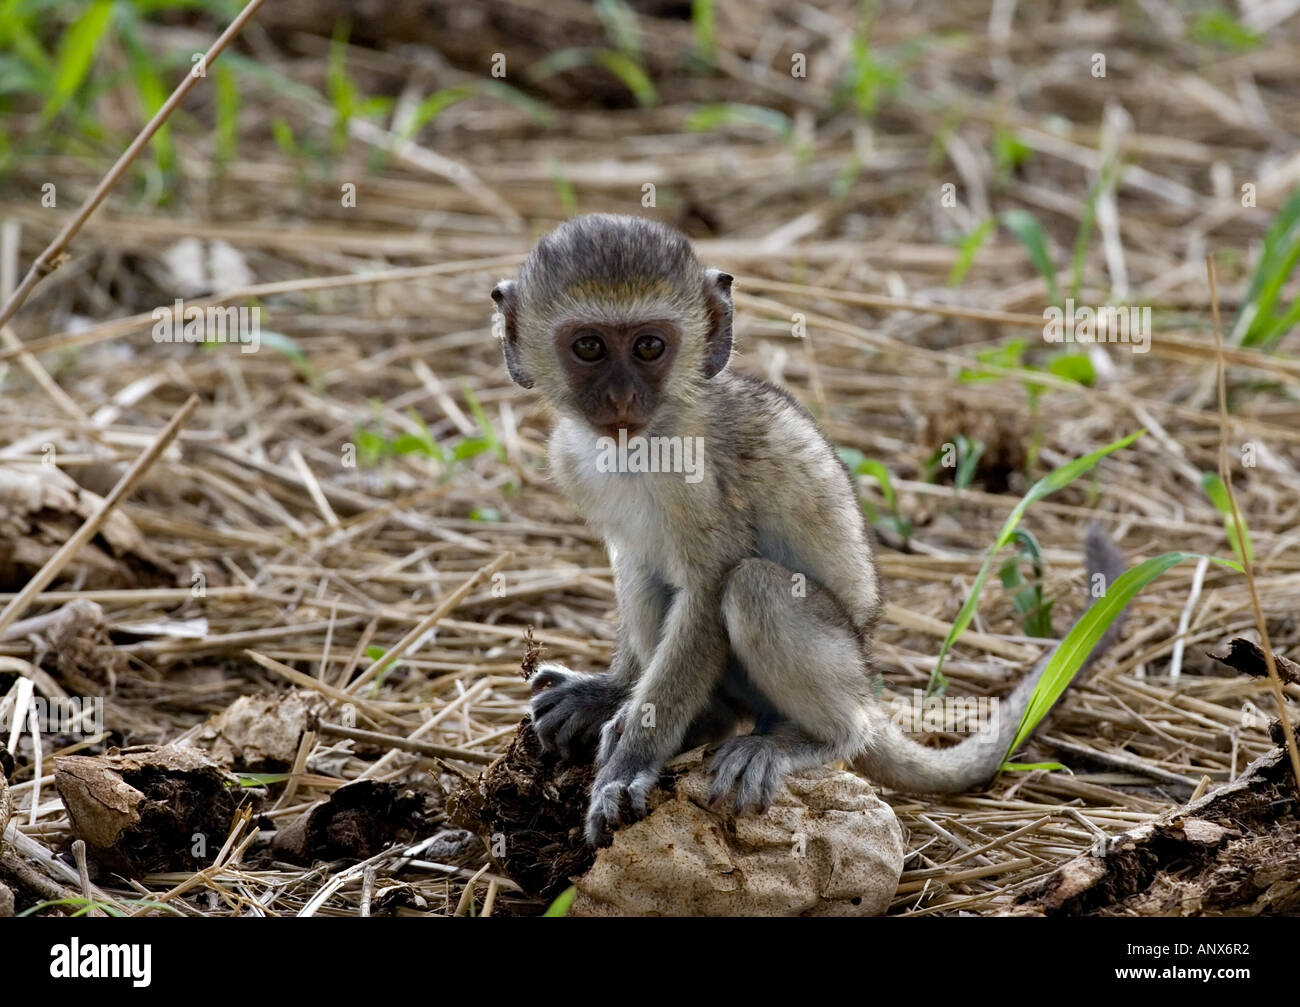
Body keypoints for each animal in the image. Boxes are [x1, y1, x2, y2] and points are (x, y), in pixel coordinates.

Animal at [491, 213, 1129, 845]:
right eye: (589, 347)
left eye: (649, 346)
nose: (622, 397)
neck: (640, 442)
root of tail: (864, 686)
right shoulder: (569, 461)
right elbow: (637, 561)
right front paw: (610, 689)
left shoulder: (693, 476)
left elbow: (709, 586)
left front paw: (629, 766)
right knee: (646, 571)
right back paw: (702, 720)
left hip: (841, 667)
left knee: (754, 587)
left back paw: (813, 736)